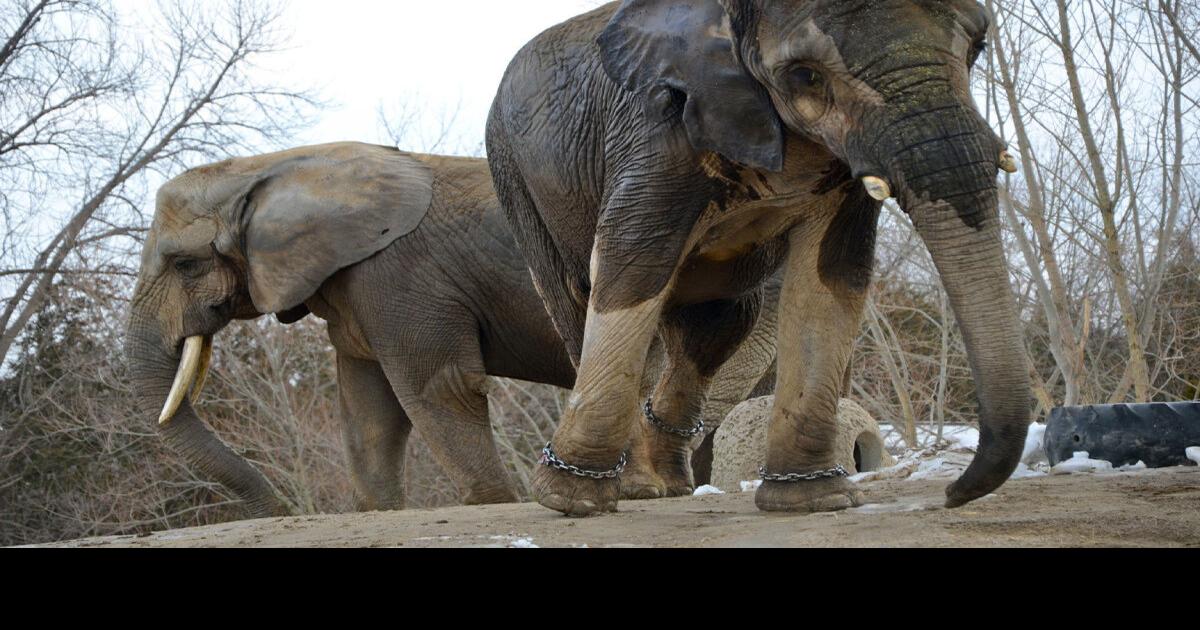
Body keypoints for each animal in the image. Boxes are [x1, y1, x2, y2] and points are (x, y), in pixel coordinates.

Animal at [126, 142, 777, 518]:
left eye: (185, 264)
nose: (282, 509)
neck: (269, 168)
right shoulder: (352, 290)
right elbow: (368, 411)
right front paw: (379, 512)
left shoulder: (398, 275)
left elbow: (438, 387)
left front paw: (495, 503)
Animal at [486, 0, 1030, 516]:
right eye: (806, 75)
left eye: (977, 47)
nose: (951, 495)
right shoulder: (656, 125)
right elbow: (634, 255)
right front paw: (569, 500)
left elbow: (830, 276)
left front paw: (812, 500)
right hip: (517, 181)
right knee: (580, 303)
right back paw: (633, 488)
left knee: (719, 325)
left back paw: (669, 487)